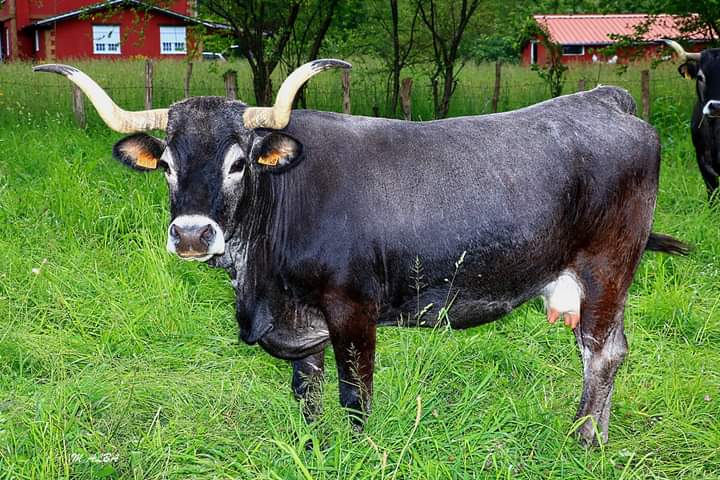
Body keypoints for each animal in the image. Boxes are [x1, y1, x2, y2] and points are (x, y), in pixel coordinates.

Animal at [34, 61, 687, 446]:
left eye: (239, 162)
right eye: (167, 165)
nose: (193, 235)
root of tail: (604, 99)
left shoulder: (352, 308)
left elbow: (355, 394)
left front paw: (355, 448)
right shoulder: (304, 320)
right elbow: (307, 390)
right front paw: (312, 445)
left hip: (608, 267)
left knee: (600, 354)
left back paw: (585, 440)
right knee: (611, 349)